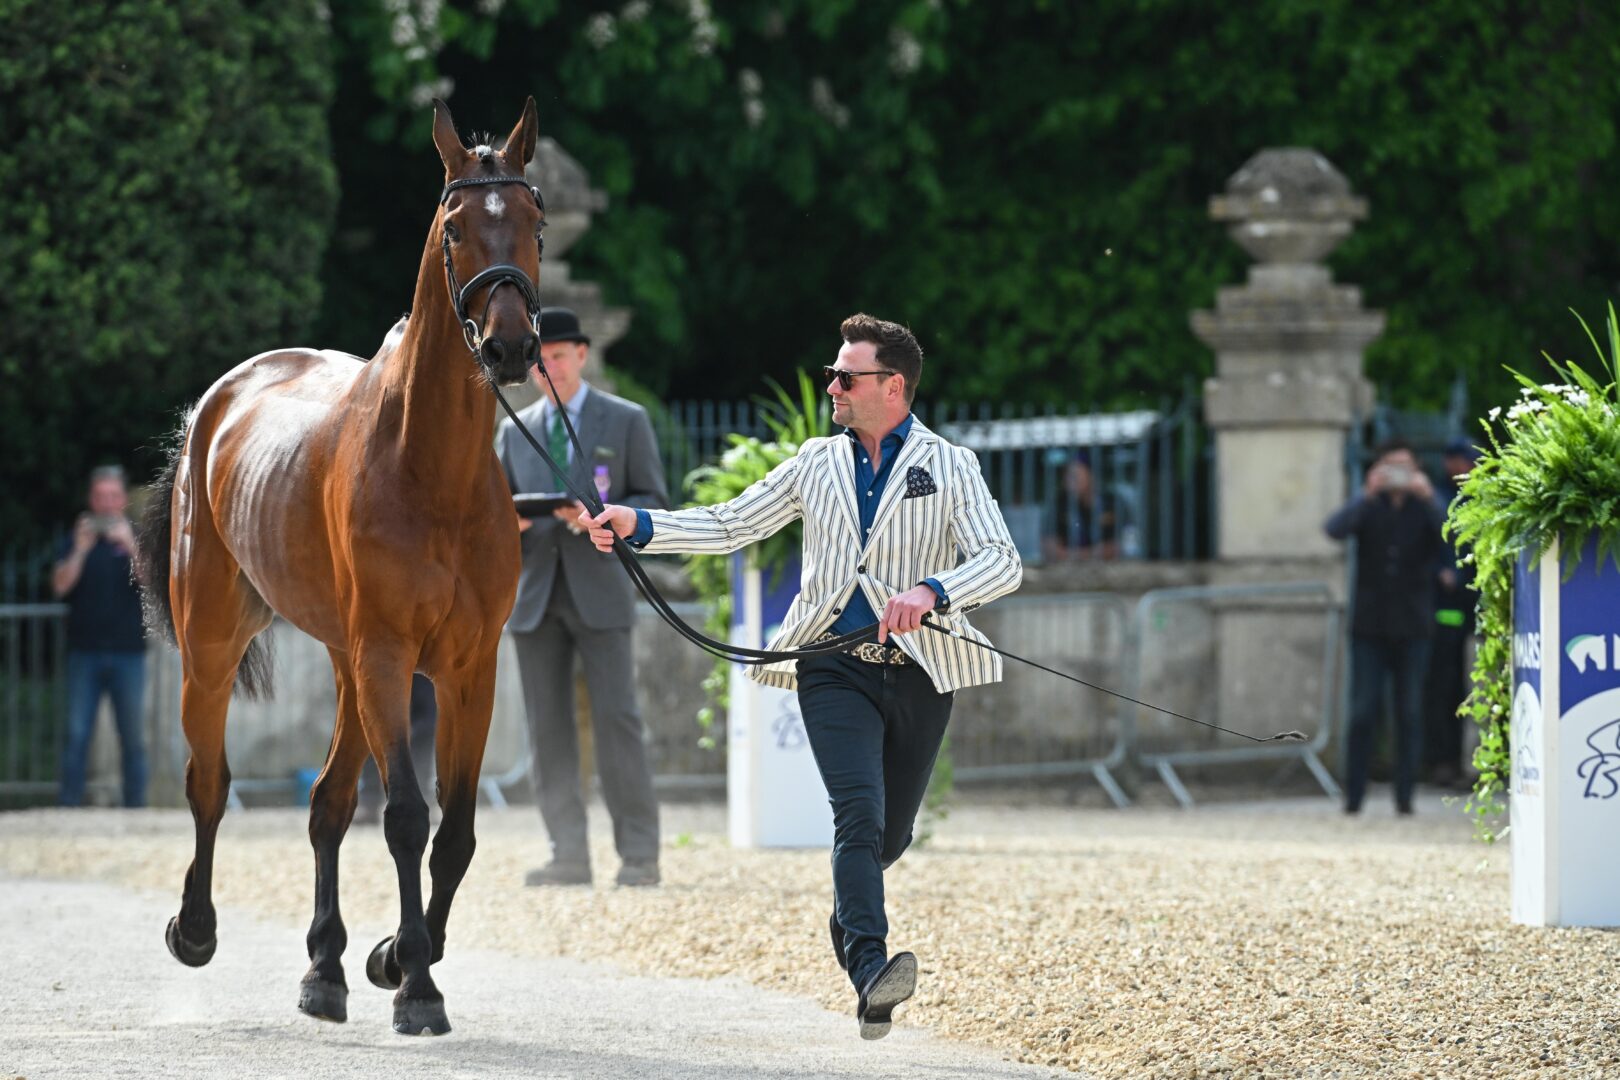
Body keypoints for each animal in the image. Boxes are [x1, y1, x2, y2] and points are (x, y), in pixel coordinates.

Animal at [137, 97, 544, 1035]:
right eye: (456, 227)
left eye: (535, 223)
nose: (508, 347)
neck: (431, 469)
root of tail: (214, 403)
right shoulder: (389, 657)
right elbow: (405, 818)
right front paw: (419, 986)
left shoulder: (468, 670)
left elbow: (455, 831)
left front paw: (394, 957)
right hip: (217, 646)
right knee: (209, 783)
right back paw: (196, 929)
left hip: (345, 661)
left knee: (327, 802)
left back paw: (324, 967)